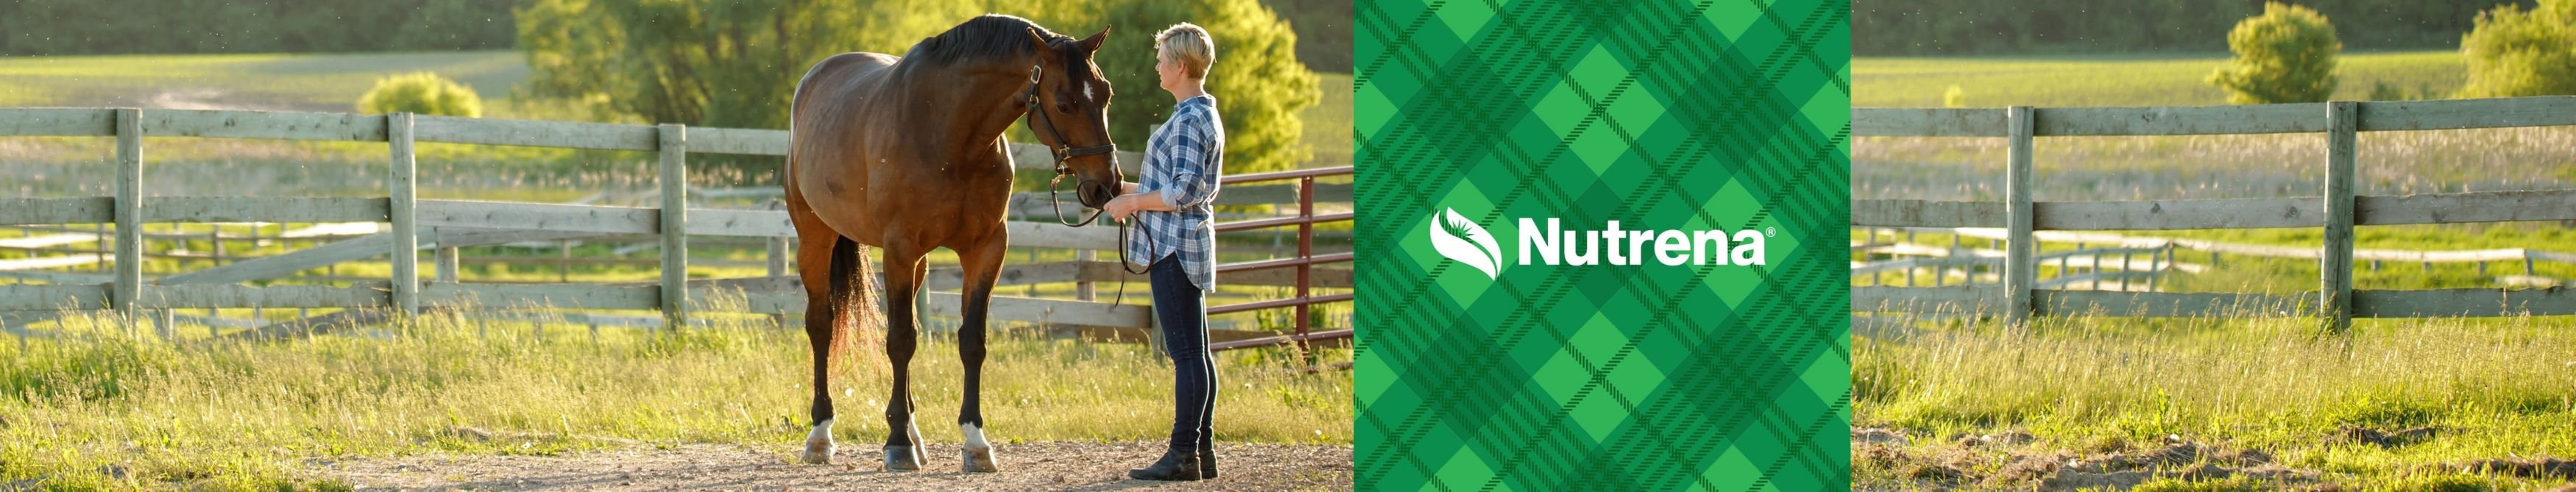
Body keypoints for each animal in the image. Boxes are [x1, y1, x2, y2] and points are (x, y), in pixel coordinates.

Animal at [784, 14, 1122, 472]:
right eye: (1065, 103)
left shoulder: (986, 250)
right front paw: (896, 444)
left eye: (1105, 94)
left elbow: (971, 341)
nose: (1107, 185)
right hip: (815, 241)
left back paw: (913, 431)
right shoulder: (900, 249)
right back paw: (821, 433)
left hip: (919, 264)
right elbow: (900, 340)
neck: (948, 132)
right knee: (821, 326)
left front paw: (975, 442)